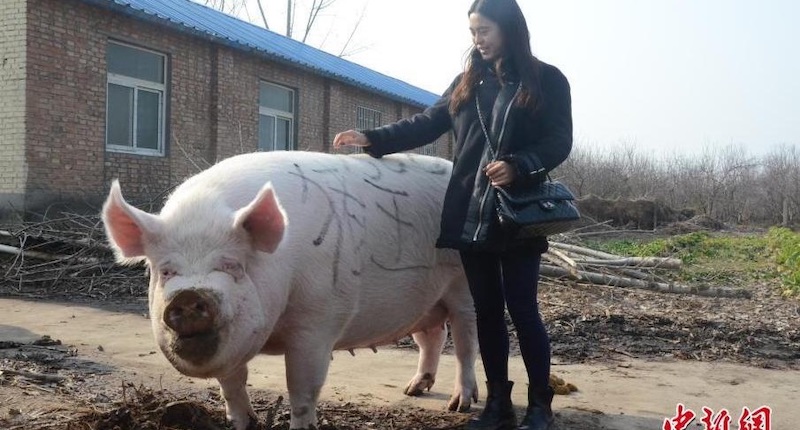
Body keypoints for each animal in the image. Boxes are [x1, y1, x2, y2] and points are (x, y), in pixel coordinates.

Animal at [101, 151, 479, 430]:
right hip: (425, 301)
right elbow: (232, 386)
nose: (189, 296)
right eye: (166, 271)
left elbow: (301, 390)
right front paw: (243, 422)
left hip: (465, 287)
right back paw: (414, 389)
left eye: (232, 265)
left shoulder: (318, 323)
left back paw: (459, 405)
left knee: (464, 343)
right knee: (432, 335)